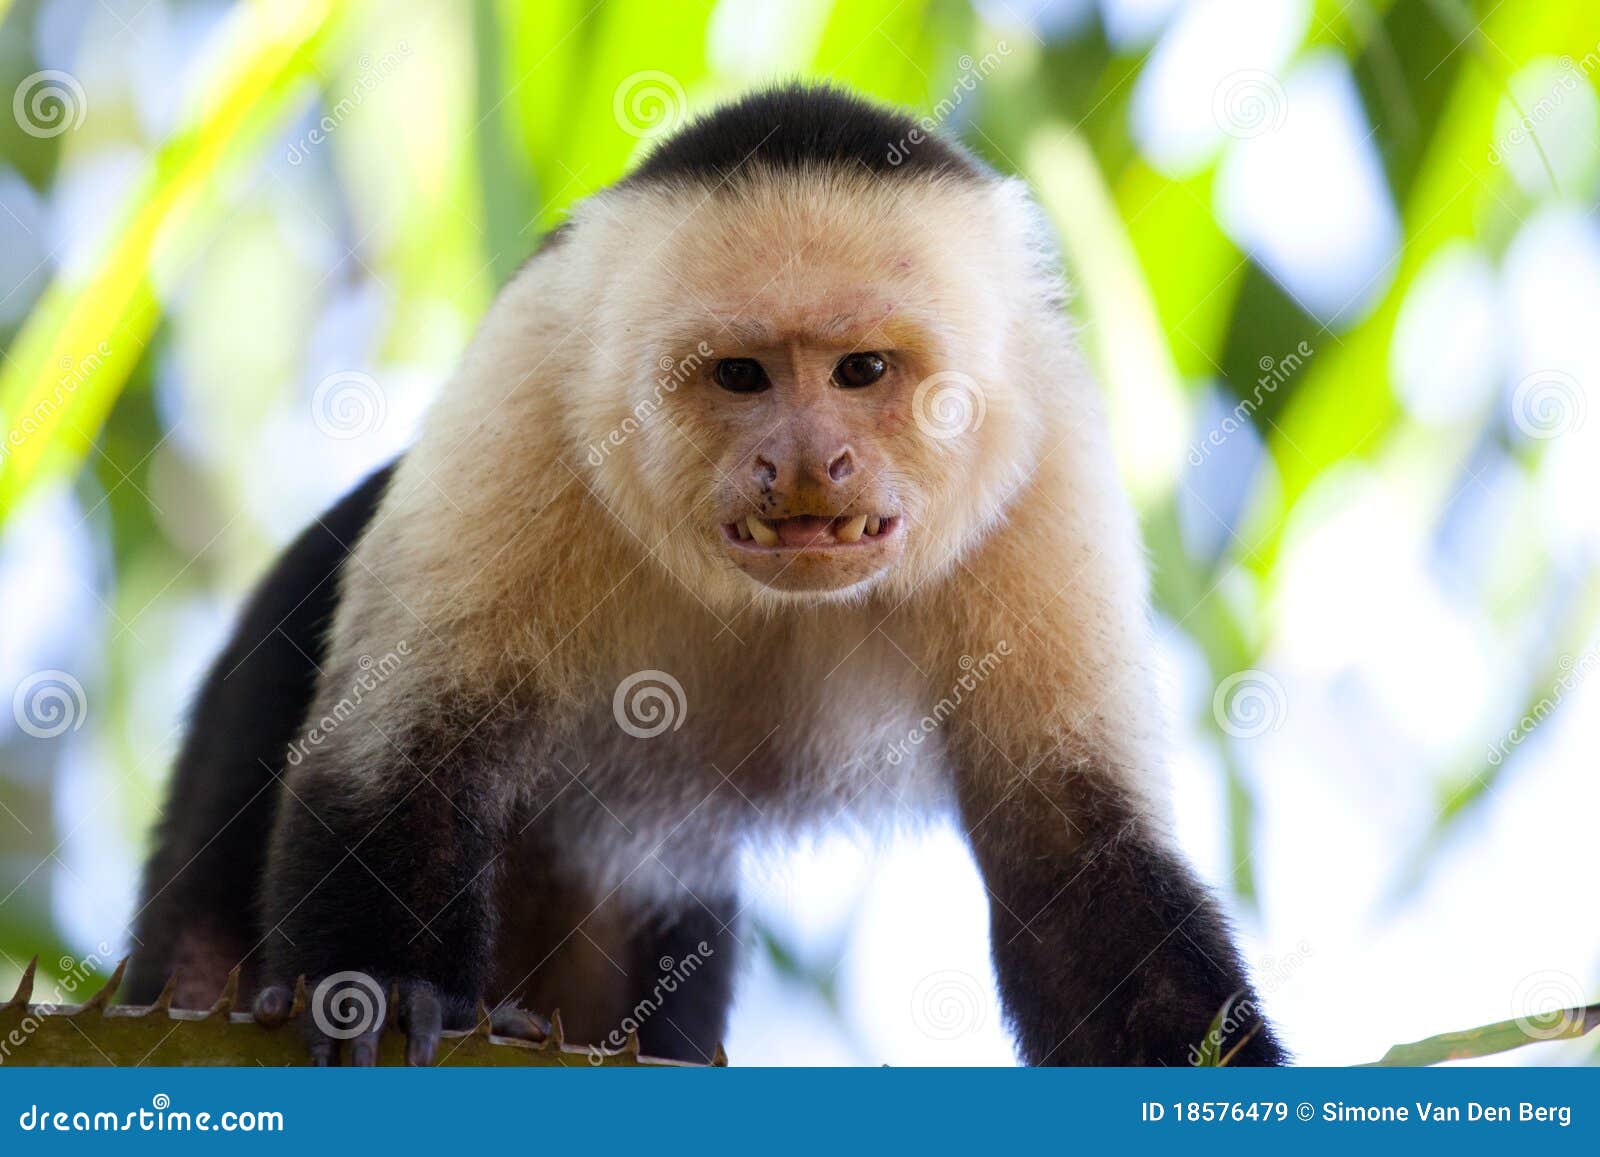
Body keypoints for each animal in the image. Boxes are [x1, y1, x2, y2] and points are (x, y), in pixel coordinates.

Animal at [125, 84, 1286, 1067]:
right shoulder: (530, 379)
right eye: (741, 375)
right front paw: (384, 985)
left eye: (861, 370)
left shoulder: (1047, 450)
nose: (808, 463)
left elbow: (1073, 861)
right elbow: (398, 744)